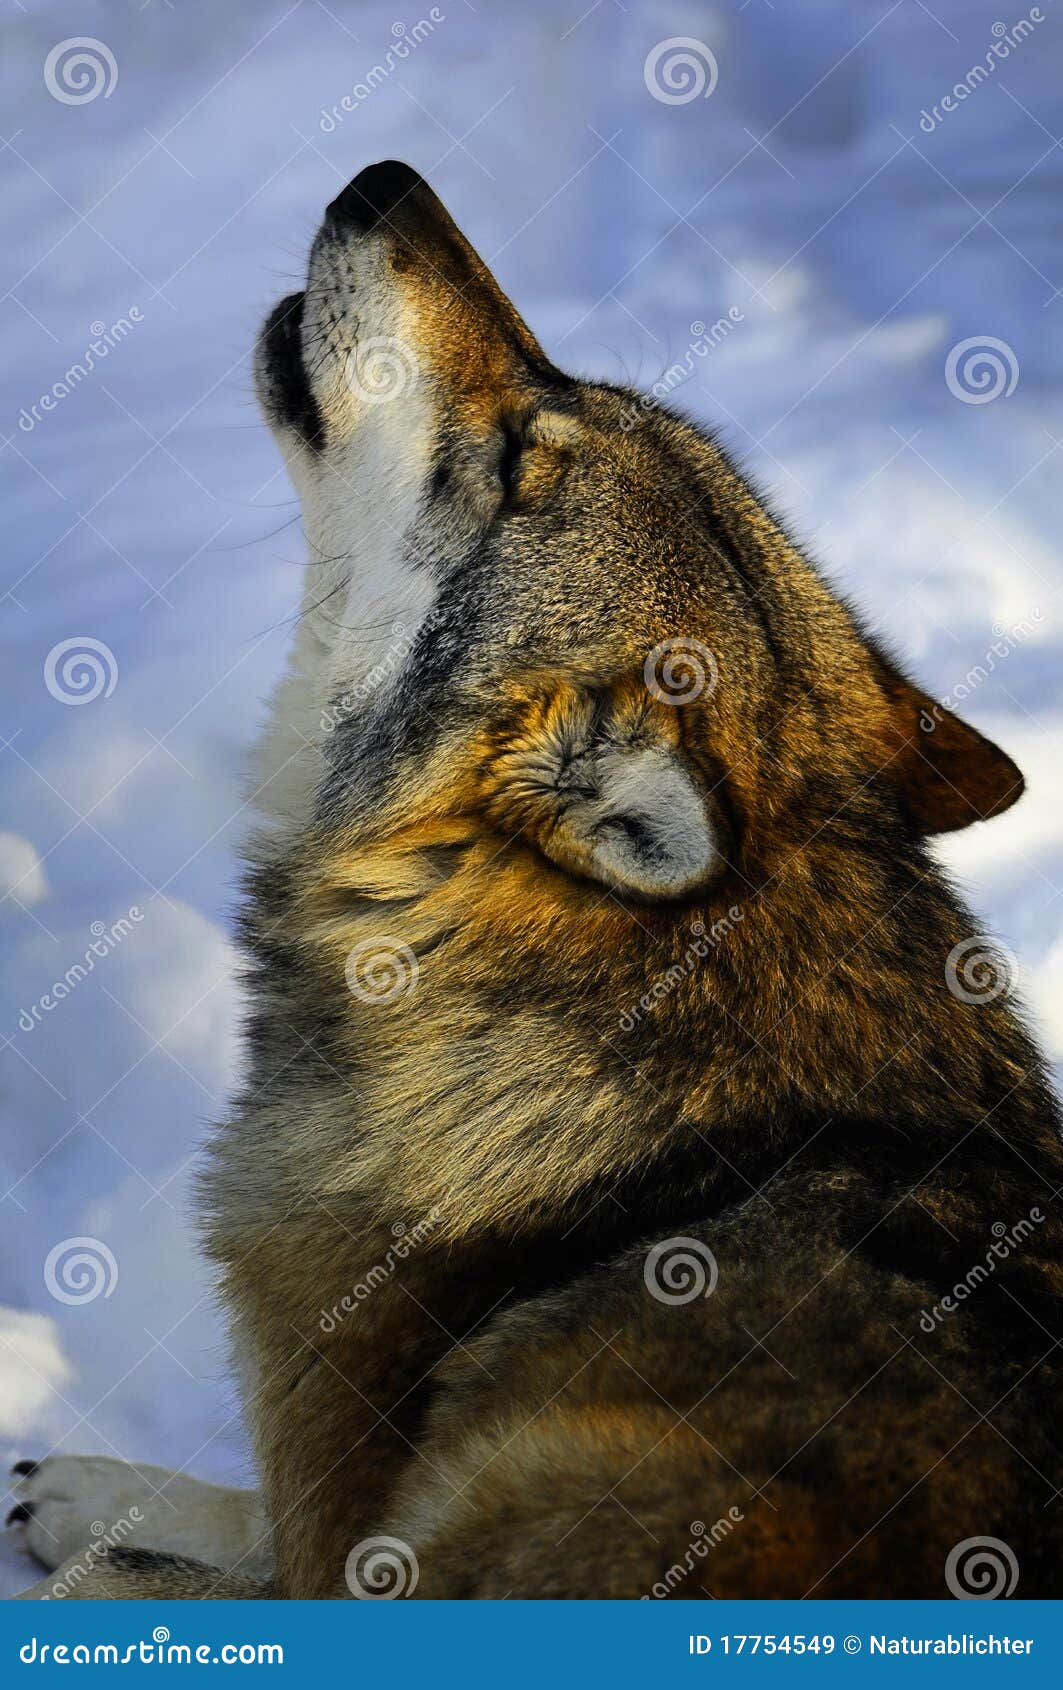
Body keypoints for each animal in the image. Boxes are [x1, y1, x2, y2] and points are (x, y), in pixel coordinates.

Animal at [11, 161, 1062, 1600]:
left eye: (513, 464)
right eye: (559, 390)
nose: (385, 182)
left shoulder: (336, 1494)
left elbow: (236, 1550)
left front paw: (104, 1515)